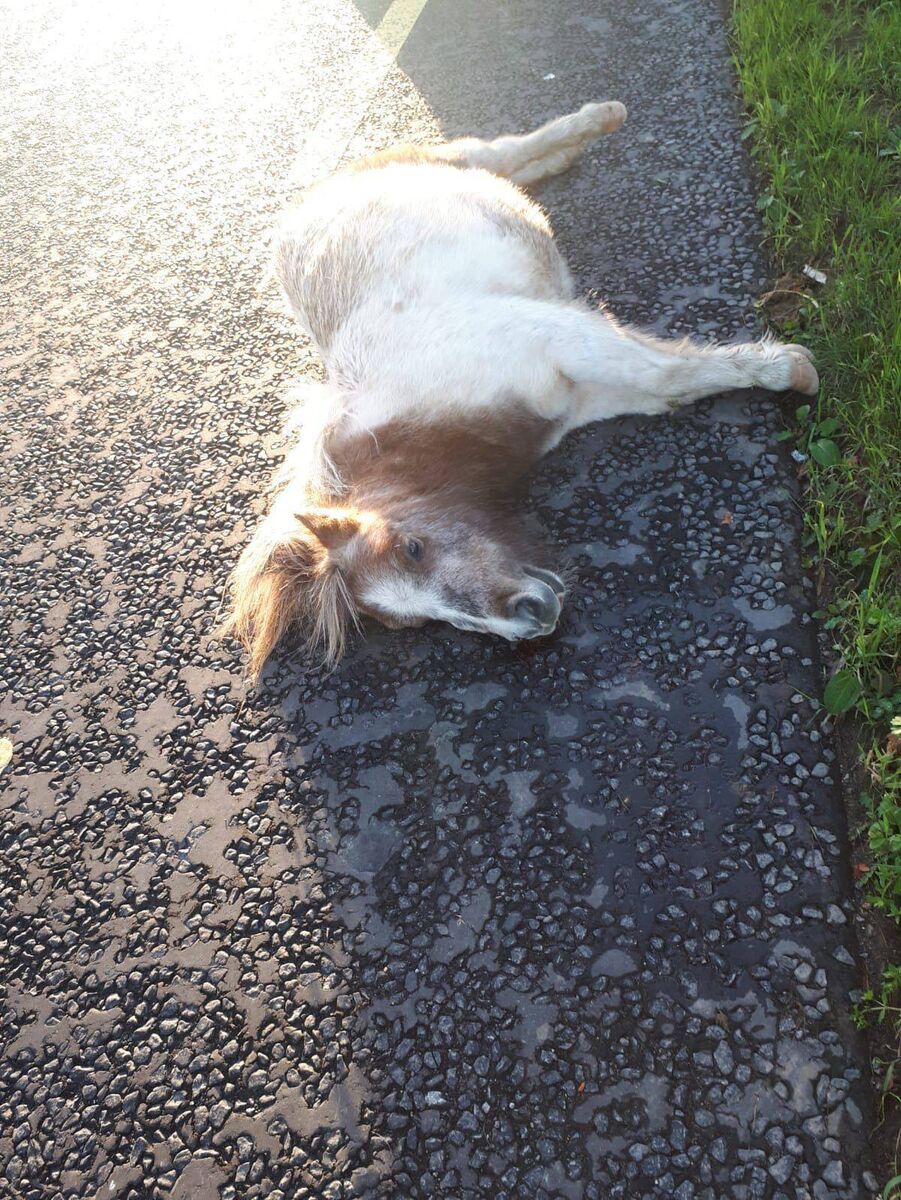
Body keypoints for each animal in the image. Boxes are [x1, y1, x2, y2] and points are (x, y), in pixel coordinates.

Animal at [221, 101, 818, 681]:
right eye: (418, 623)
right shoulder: (578, 394)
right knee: (509, 168)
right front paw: (775, 367)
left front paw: (792, 369)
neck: (421, 415)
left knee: (504, 151)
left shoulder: (558, 334)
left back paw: (599, 119)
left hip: (452, 155)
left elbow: (662, 373)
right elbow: (671, 386)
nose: (531, 618)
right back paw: (563, 159)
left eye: (413, 548)